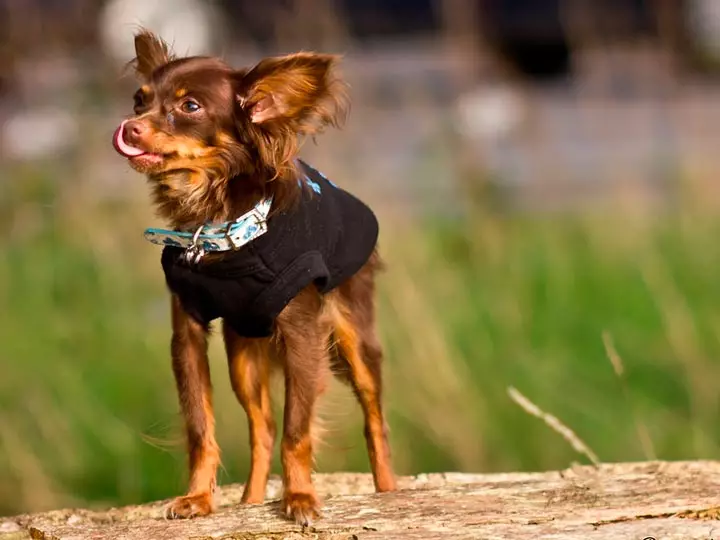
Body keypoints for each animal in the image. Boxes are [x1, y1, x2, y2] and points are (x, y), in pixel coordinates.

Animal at [109, 31, 396, 524]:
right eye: (139, 100)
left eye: (190, 106)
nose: (129, 127)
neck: (214, 224)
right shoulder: (187, 336)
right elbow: (201, 427)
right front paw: (198, 499)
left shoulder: (303, 335)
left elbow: (297, 429)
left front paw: (299, 497)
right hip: (243, 357)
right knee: (260, 427)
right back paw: (250, 500)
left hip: (354, 340)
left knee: (374, 417)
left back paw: (389, 491)